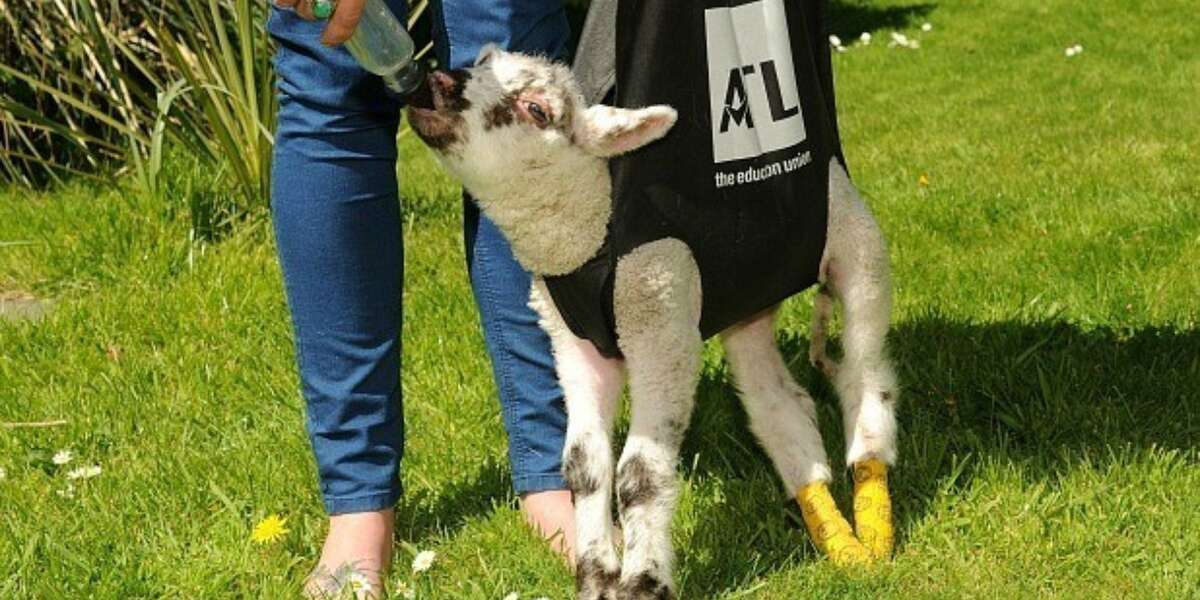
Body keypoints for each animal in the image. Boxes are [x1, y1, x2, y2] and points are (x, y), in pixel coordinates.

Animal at [408, 46, 899, 600]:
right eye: (483, 61)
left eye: (537, 108)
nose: (438, 83)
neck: (586, 234)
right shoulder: (573, 347)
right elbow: (584, 466)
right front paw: (596, 578)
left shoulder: (660, 320)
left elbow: (639, 472)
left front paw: (644, 580)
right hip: (743, 301)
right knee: (778, 403)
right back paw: (830, 527)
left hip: (859, 251)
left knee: (866, 377)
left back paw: (872, 517)